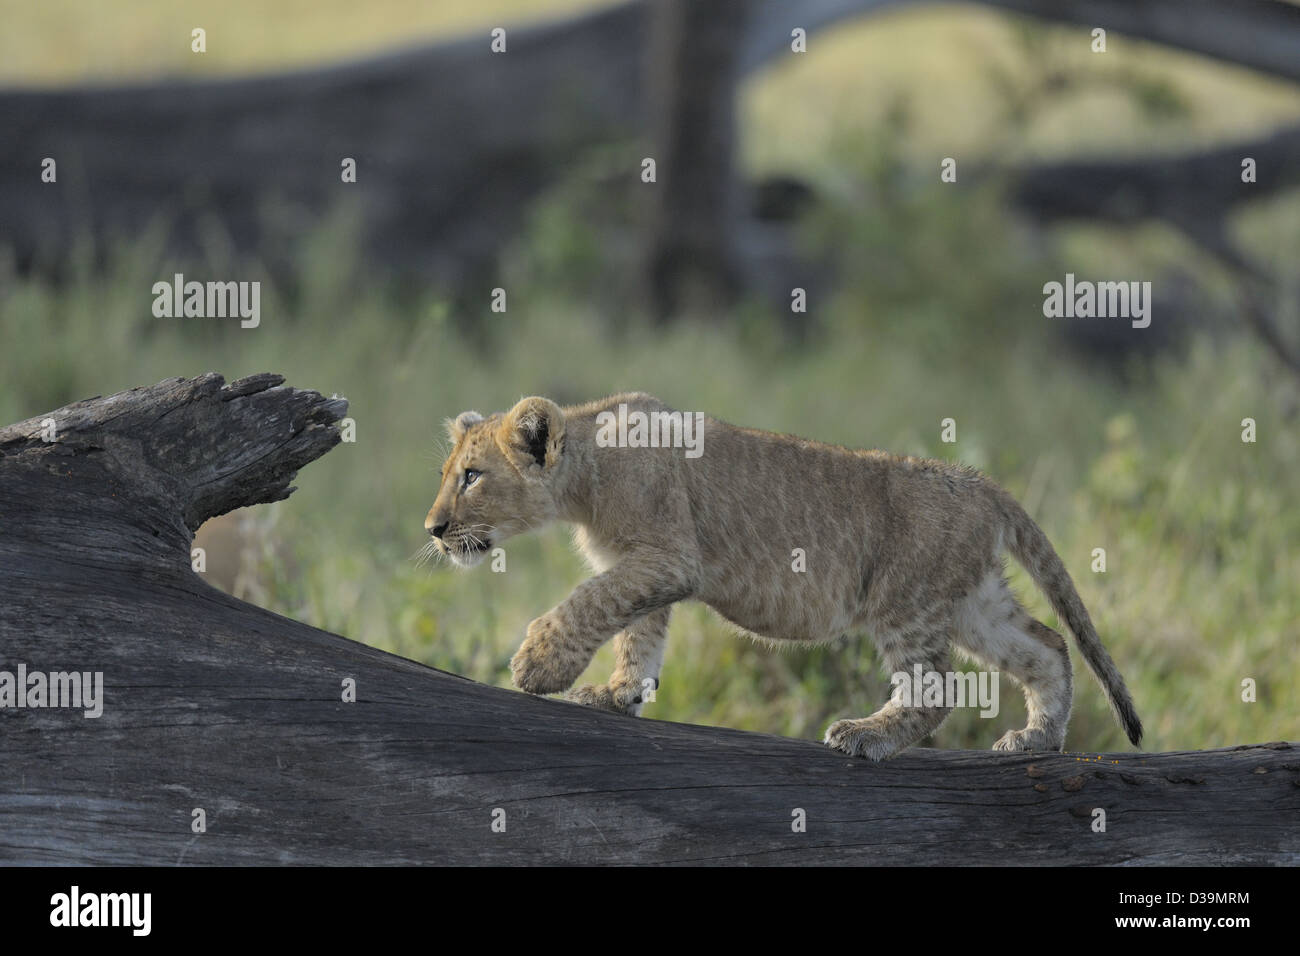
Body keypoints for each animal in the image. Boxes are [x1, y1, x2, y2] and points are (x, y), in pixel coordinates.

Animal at [424, 393, 1142, 760]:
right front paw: (617, 694)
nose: (432, 528)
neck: (583, 473)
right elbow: (637, 636)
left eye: (472, 476)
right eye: (447, 474)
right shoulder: (649, 568)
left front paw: (538, 665)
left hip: (906, 603)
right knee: (1048, 644)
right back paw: (1036, 740)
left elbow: (588, 604)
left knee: (937, 690)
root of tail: (978, 482)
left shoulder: (666, 557)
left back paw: (867, 735)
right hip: (971, 603)